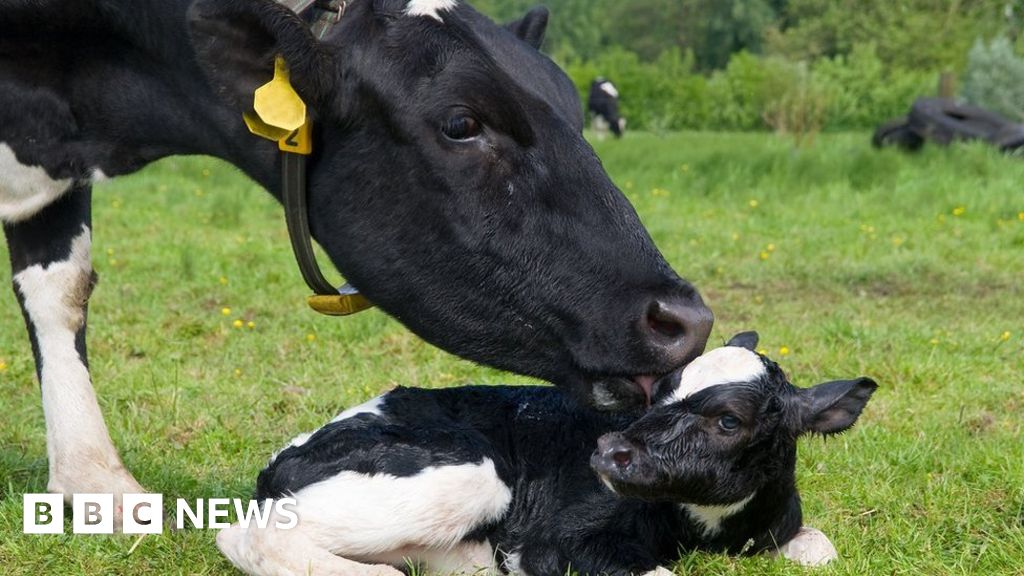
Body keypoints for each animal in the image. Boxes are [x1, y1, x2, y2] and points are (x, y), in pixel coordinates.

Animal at [217, 332, 877, 575]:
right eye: (661, 390)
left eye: (728, 420)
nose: (610, 450)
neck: (704, 531)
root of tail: (281, 459)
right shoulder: (554, 544)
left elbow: (822, 549)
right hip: (470, 476)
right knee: (248, 534)